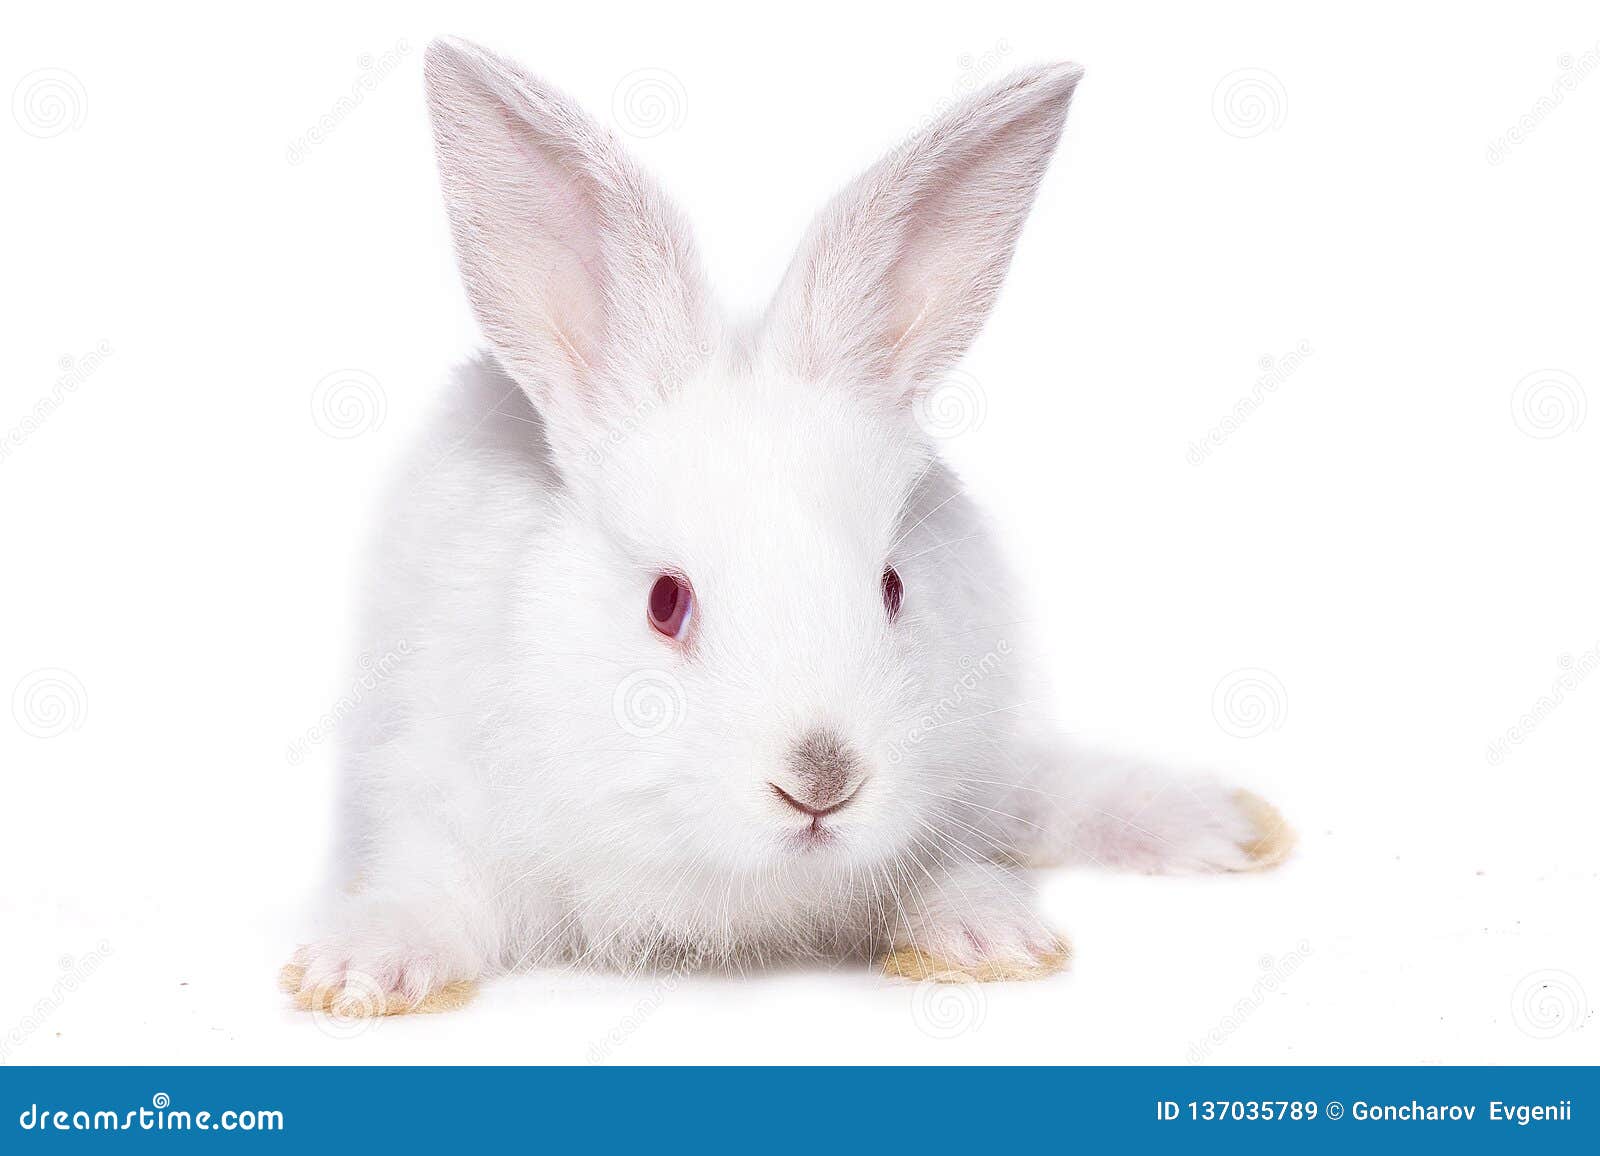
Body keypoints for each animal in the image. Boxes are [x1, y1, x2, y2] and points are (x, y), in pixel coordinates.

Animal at [285, 36, 1294, 1015]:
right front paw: (359, 973)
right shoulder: (446, 800)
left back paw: (1225, 826)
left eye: (892, 587)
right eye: (664, 602)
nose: (821, 783)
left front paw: (990, 938)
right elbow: (434, 893)